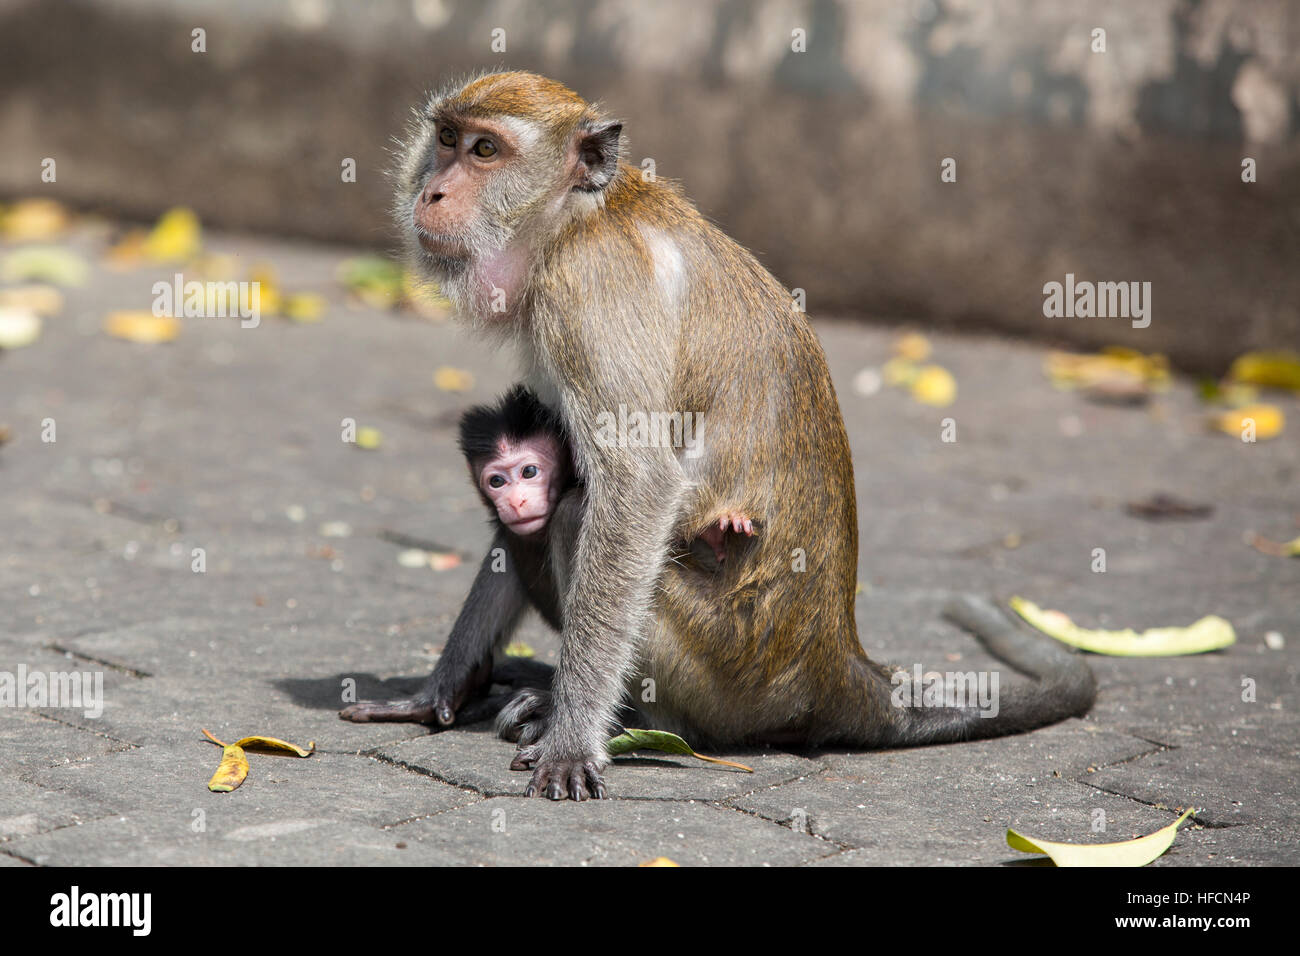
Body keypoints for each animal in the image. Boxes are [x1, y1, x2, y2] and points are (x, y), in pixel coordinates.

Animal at [342, 71, 1095, 801]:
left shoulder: (587, 295)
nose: (433, 190)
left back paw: (609, 715)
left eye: (485, 151)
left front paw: (571, 742)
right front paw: (437, 692)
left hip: (725, 673)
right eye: (445, 140)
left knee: (575, 515)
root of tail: (839, 667)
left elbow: (634, 488)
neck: (576, 220)